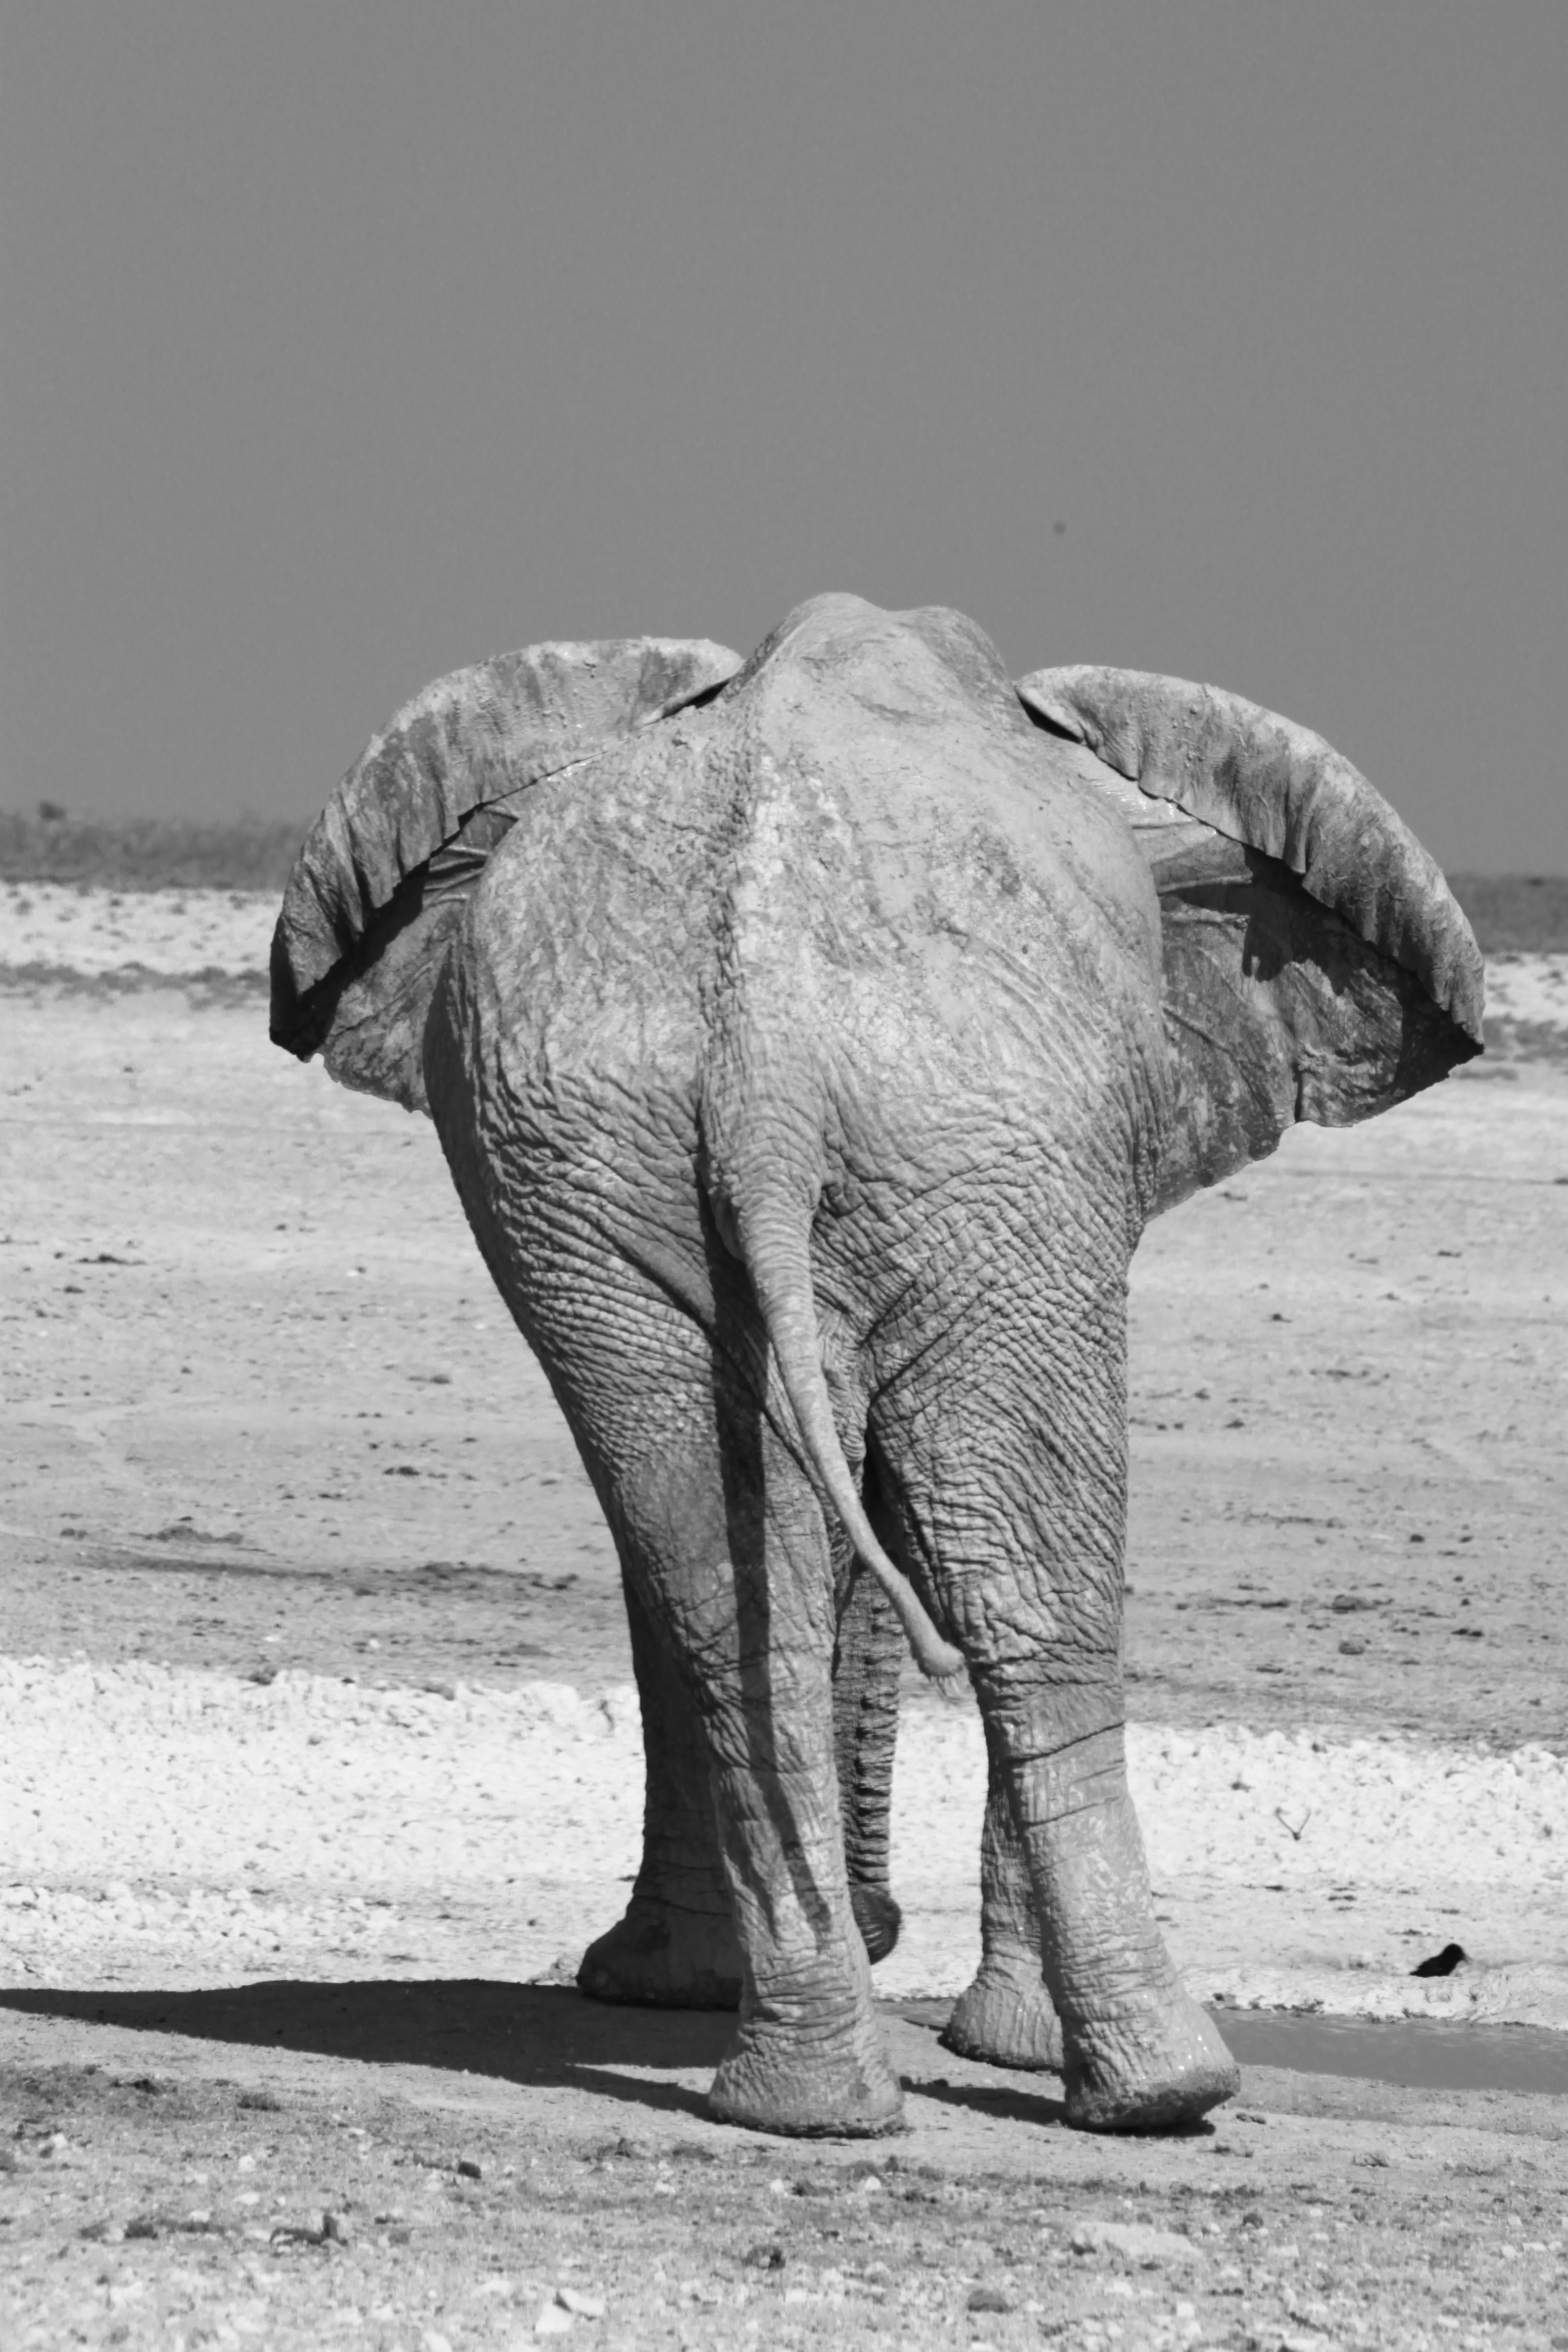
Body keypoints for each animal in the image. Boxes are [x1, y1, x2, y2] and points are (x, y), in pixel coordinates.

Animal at [270, 593, 1482, 2138]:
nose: (884, 1915)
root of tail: (764, 1056)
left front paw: (669, 1994)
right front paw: (1007, 2046)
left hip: (584, 1150)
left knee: (711, 1581)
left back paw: (802, 2103)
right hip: (966, 1138)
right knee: (1026, 1581)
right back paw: (1161, 2091)